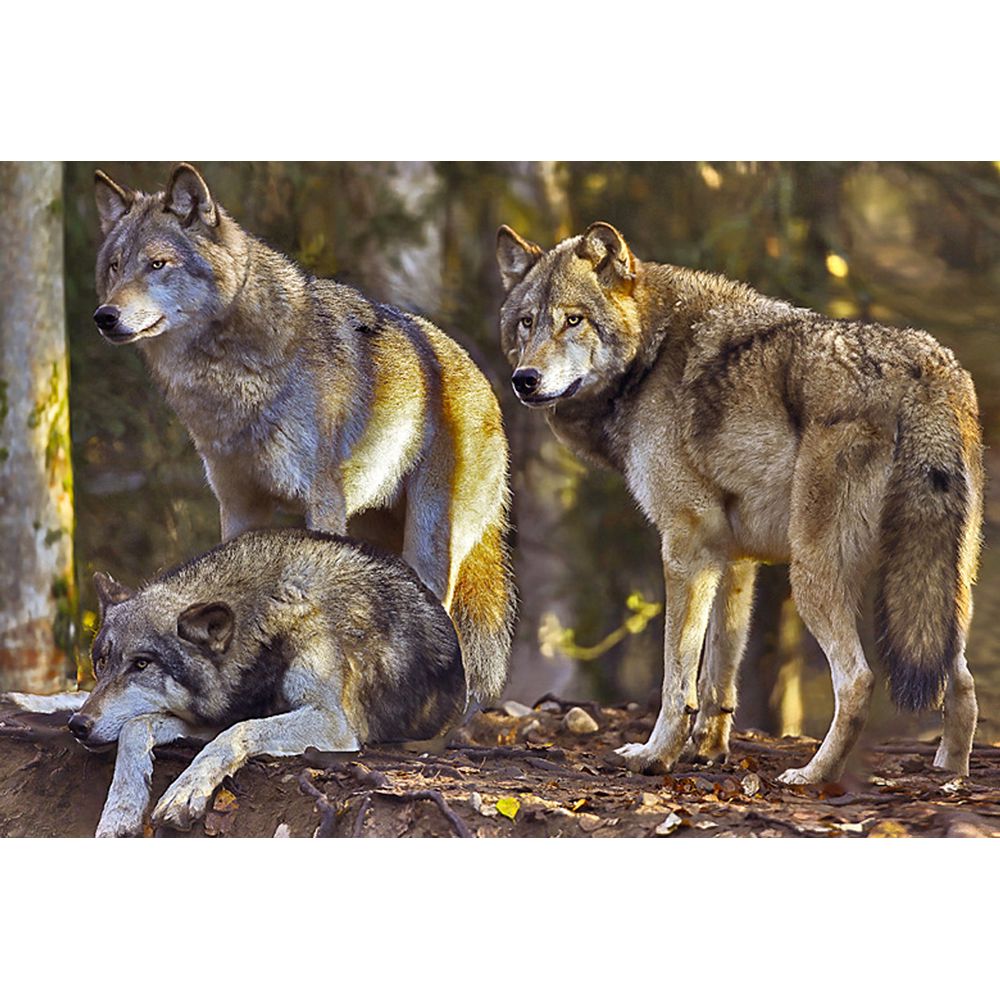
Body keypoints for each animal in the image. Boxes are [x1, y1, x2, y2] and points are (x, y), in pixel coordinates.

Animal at [7, 529, 465, 836]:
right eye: (102, 662)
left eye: (141, 664)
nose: (79, 726)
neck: (266, 621)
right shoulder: (216, 712)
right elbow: (137, 729)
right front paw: (120, 813)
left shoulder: (332, 722)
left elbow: (236, 733)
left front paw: (184, 793)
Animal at [90, 163, 513, 705]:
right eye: (115, 266)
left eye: (158, 264)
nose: (105, 316)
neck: (232, 380)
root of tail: (482, 377)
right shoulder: (239, 504)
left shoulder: (321, 500)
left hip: (430, 542)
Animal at [496, 220, 983, 784]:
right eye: (527, 323)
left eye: (573, 320)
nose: (524, 380)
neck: (649, 358)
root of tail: (922, 368)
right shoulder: (733, 559)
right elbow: (719, 672)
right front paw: (706, 750)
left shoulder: (685, 546)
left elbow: (677, 677)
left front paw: (655, 755)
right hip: (941, 586)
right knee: (961, 680)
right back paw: (948, 773)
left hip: (813, 576)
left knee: (859, 680)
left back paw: (813, 776)